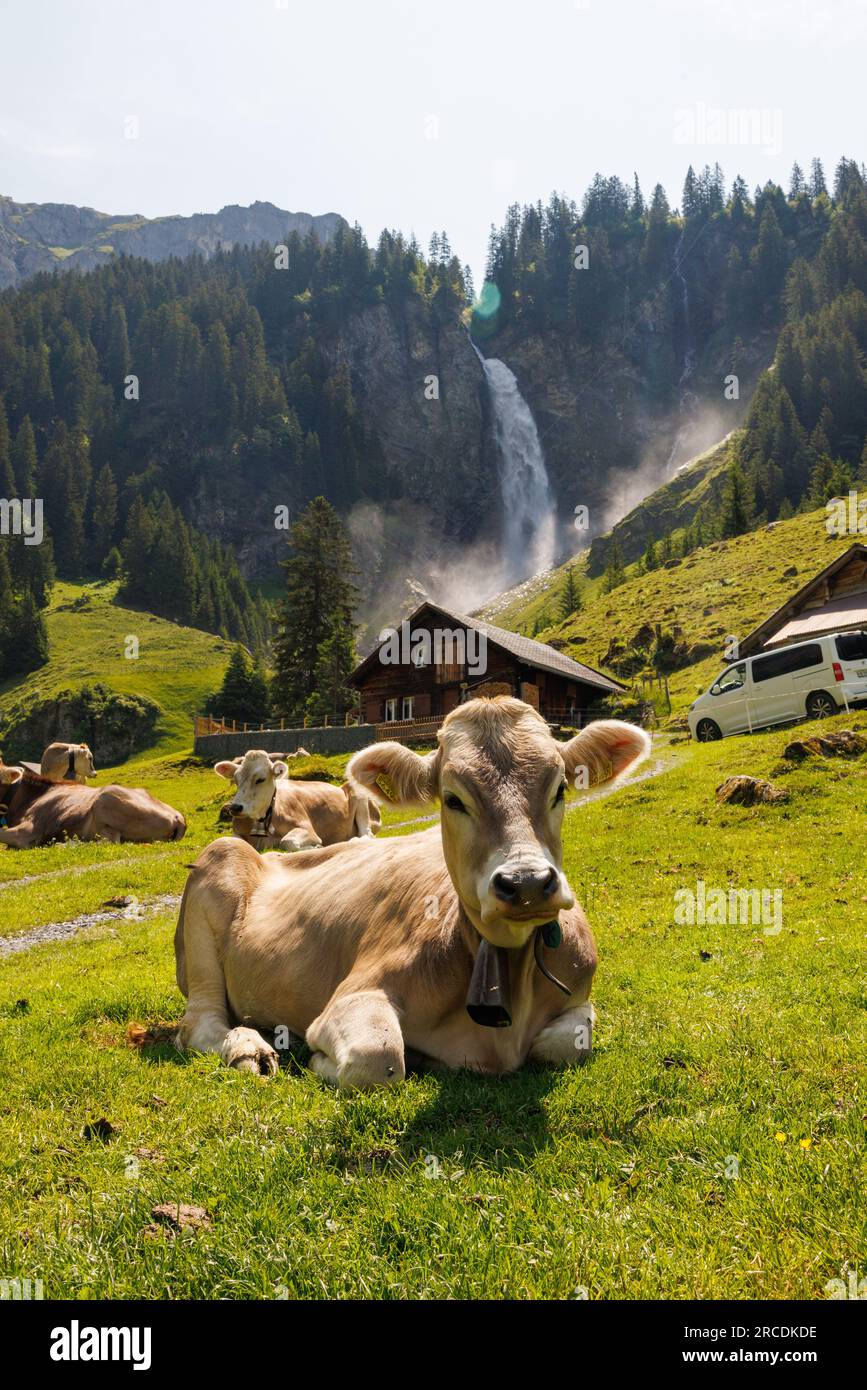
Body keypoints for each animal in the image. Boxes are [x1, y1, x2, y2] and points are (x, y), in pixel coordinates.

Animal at [214, 749, 381, 851]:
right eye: (236, 779)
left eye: (260, 779)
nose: (235, 807)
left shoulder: (308, 829)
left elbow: (287, 842)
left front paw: (316, 847)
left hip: (359, 796)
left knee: (367, 834)